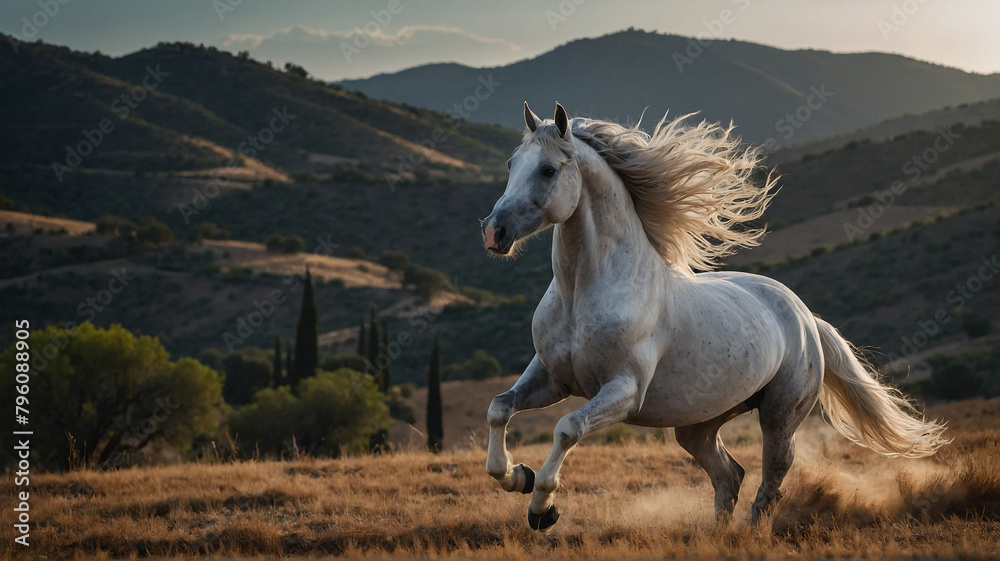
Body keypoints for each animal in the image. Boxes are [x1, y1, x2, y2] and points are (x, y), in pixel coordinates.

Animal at [481, 102, 949, 531]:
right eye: (511, 164)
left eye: (547, 170)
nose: (493, 231)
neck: (584, 293)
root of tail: (805, 317)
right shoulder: (553, 377)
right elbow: (499, 409)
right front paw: (517, 476)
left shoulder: (623, 391)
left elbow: (567, 428)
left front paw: (543, 508)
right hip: (699, 424)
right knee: (729, 476)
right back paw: (718, 534)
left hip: (780, 414)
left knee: (772, 476)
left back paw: (752, 532)